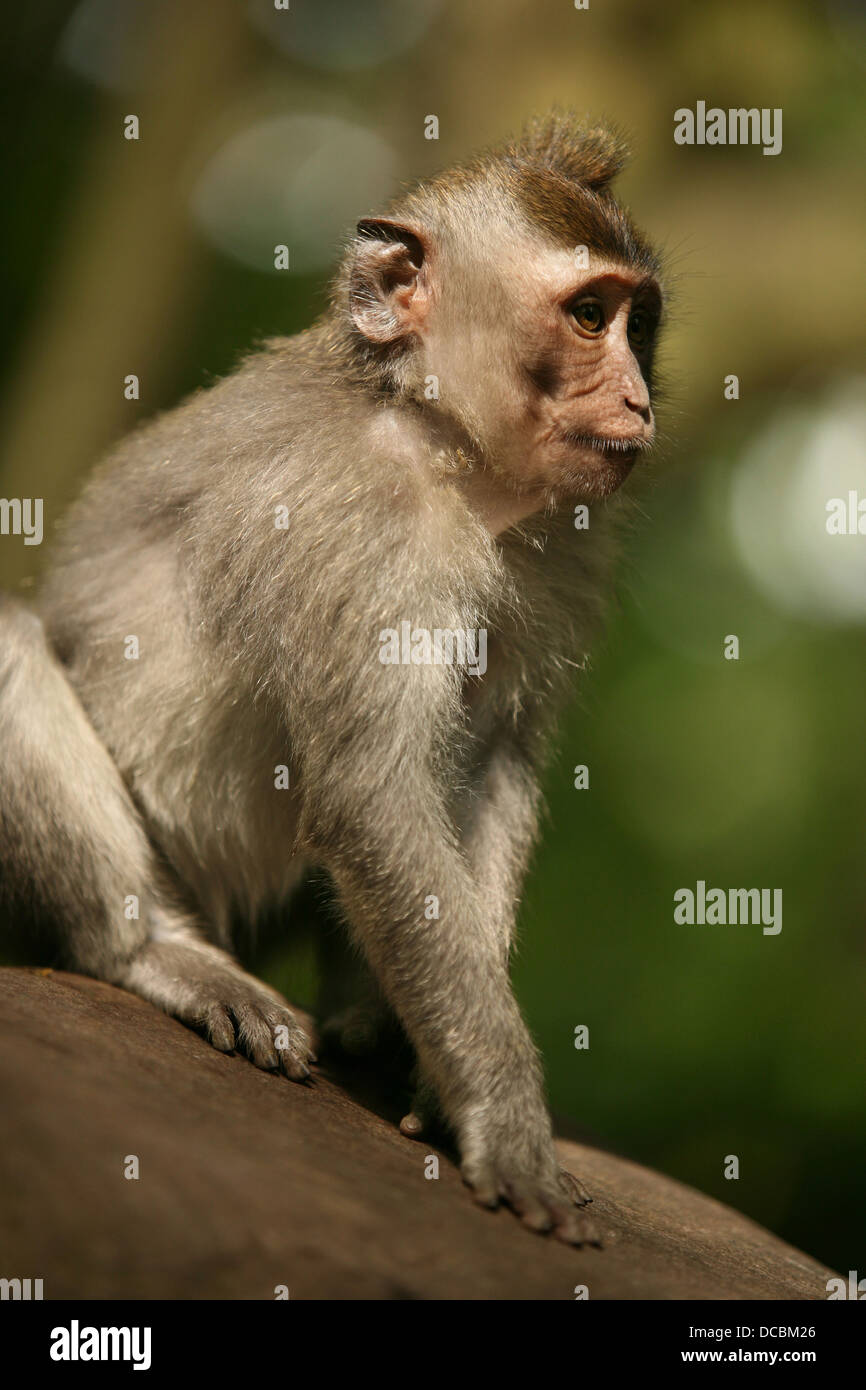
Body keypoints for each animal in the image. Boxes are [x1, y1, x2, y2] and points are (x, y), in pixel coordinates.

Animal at [0, 113, 663, 1245]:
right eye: (587, 315)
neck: (440, 442)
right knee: (9, 643)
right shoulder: (364, 527)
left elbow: (488, 765)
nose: (639, 398)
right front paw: (505, 1118)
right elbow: (370, 797)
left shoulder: (557, 554)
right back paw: (153, 951)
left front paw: (444, 1079)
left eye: (639, 321)